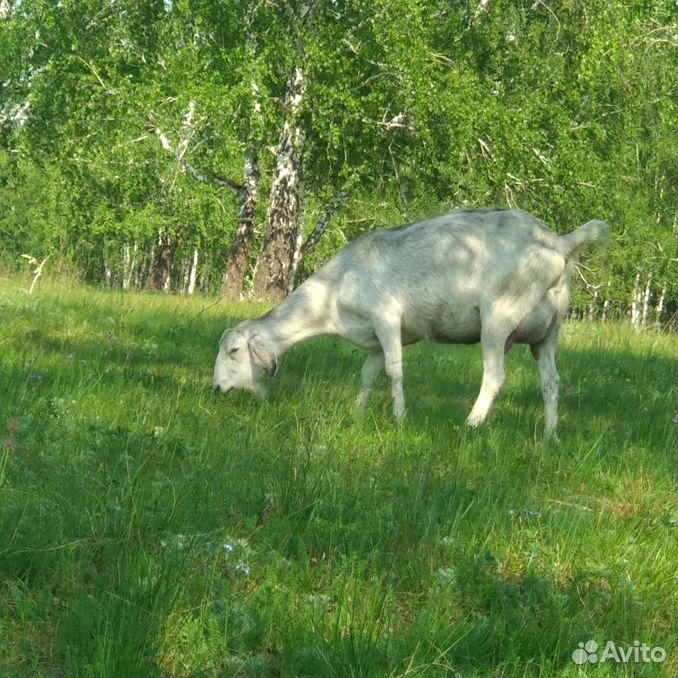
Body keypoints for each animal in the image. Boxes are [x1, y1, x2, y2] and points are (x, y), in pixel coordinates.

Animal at [213, 208, 609, 438]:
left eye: (233, 350)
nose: (216, 389)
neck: (335, 291)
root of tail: (558, 242)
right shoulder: (373, 338)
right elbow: (368, 375)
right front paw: (358, 411)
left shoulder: (387, 319)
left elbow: (394, 372)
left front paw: (399, 418)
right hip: (548, 333)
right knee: (552, 383)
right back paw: (549, 436)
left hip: (499, 319)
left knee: (495, 376)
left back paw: (470, 424)